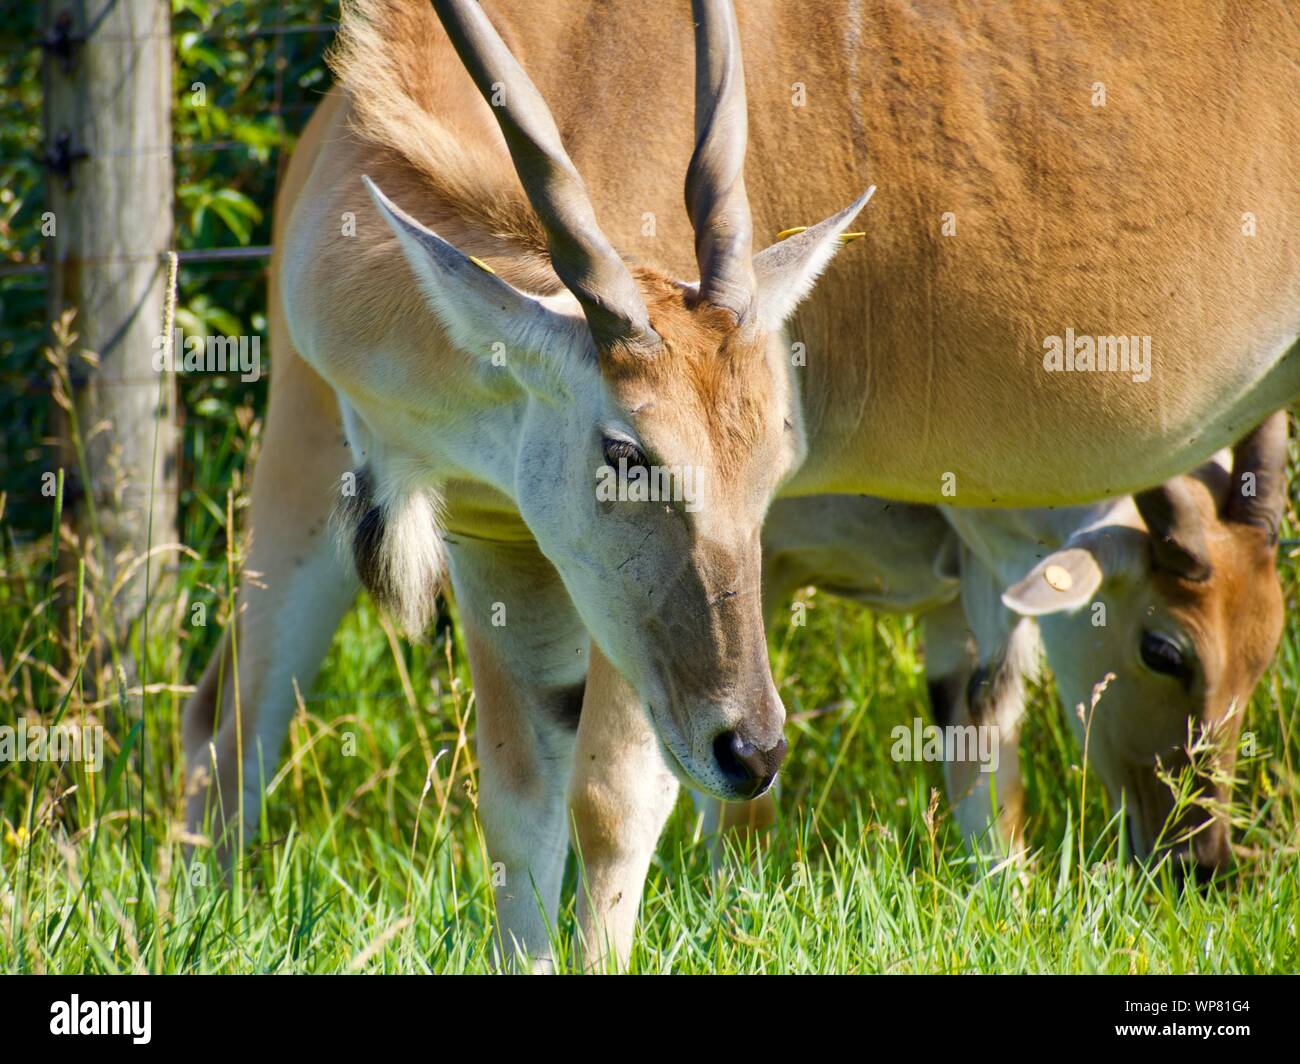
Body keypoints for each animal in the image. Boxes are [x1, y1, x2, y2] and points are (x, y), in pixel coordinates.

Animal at [700, 416, 1289, 877]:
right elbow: (741, 803)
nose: (1201, 863)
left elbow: (988, 788)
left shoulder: (959, 607)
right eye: (1162, 651)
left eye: (1266, 649)